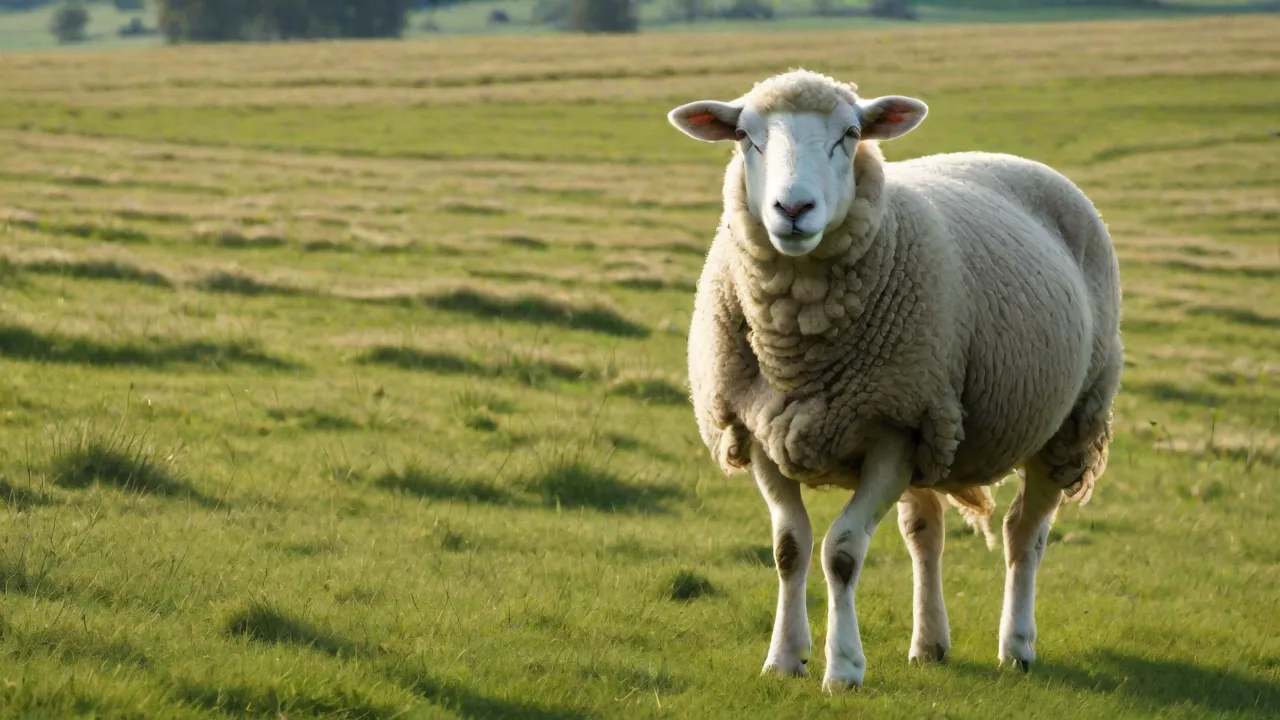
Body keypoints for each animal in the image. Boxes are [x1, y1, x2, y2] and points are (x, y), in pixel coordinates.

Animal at [666, 69, 1122, 693]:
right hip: (933, 420)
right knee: (925, 532)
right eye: (745, 137)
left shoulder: (892, 432)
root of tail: (1005, 155)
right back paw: (929, 643)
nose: (793, 207)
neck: (799, 339)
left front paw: (843, 668)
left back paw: (1017, 646)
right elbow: (789, 548)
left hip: (1066, 417)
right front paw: (784, 658)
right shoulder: (760, 427)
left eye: (851, 134)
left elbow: (841, 552)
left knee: (1023, 533)